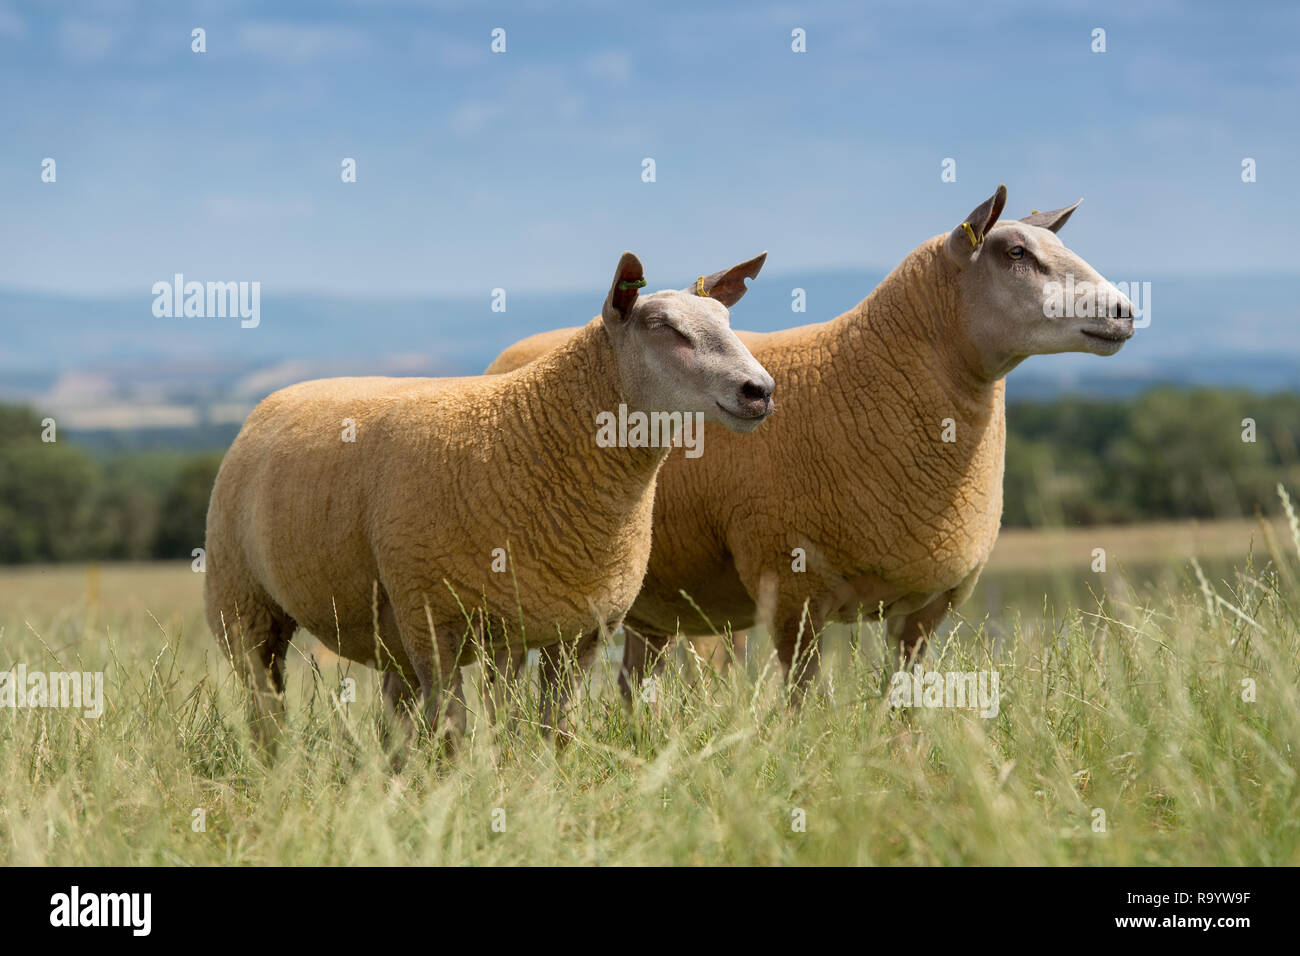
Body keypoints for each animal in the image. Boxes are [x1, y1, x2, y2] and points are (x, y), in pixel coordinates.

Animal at [203, 251, 775, 751]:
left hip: (390, 625)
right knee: (263, 701)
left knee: (395, 705)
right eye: (660, 326)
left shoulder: (577, 629)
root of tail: (276, 397)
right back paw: (274, 765)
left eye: (727, 320)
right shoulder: (434, 620)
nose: (761, 390)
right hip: (244, 603)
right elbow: (454, 728)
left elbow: (556, 727)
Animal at [485, 185, 1136, 702]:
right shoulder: (792, 589)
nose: (1125, 311)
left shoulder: (927, 606)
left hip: (654, 600)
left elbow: (903, 707)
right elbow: (803, 703)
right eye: (1016, 253)